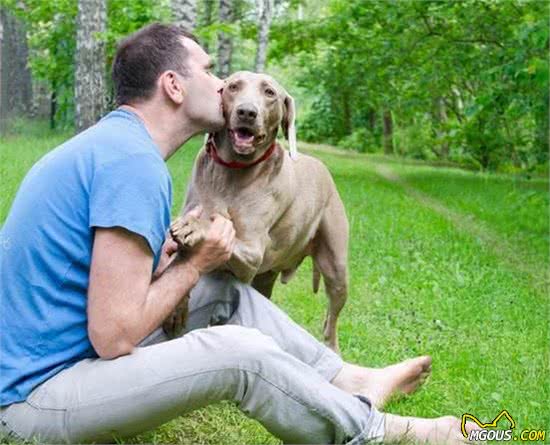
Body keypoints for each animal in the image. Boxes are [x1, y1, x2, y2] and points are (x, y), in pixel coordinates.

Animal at [169, 72, 350, 350]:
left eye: (269, 93)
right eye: (233, 87)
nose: (247, 112)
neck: (231, 171)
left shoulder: (251, 253)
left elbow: (217, 230)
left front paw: (194, 226)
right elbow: (179, 260)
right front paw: (177, 309)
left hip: (336, 268)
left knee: (331, 321)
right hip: (265, 278)